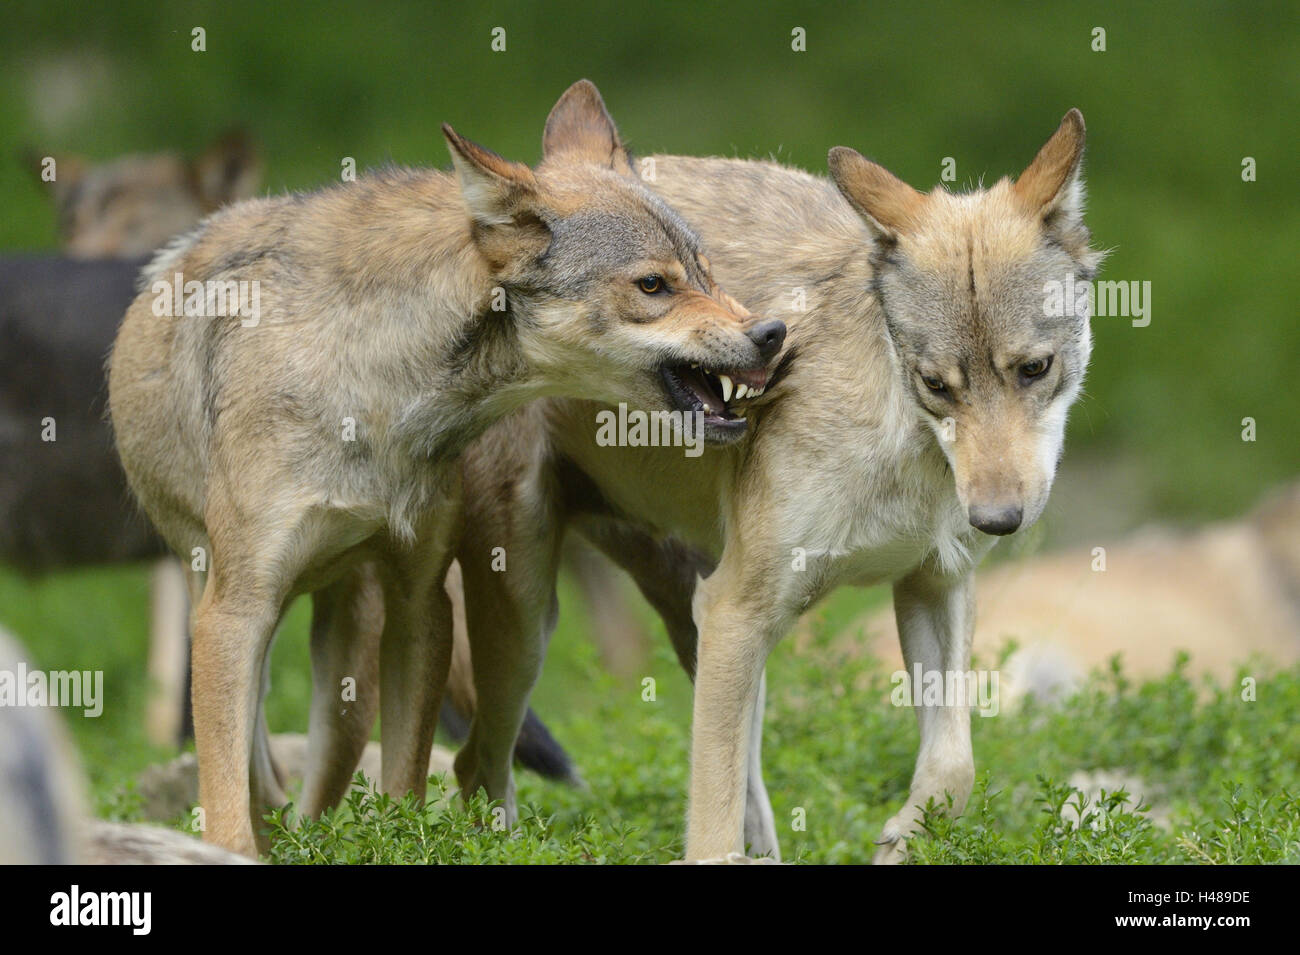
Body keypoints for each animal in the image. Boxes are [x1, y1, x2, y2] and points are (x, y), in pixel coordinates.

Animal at [107, 80, 785, 857]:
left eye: (706, 271)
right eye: (653, 285)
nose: (772, 332)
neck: (377, 392)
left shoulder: (420, 602)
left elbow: (403, 784)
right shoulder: (236, 611)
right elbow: (226, 803)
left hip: (381, 642)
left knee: (338, 776)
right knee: (267, 771)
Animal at [334, 109, 1101, 863]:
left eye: (1034, 369)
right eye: (937, 385)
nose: (998, 519)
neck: (902, 434)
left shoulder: (931, 582)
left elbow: (953, 767)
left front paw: (899, 840)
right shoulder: (737, 610)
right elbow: (709, 833)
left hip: (692, 620)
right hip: (534, 623)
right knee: (475, 765)